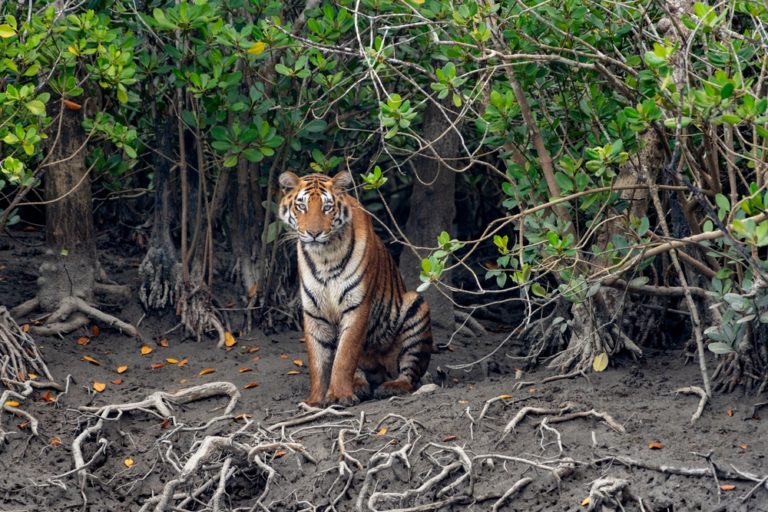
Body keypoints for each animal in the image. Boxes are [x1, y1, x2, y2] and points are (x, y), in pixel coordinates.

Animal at [278, 170, 433, 406]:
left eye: (327, 207)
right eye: (301, 206)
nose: (314, 233)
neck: (324, 257)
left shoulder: (356, 306)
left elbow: (345, 356)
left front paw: (339, 395)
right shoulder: (315, 312)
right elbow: (318, 361)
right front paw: (315, 401)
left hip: (415, 304)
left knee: (409, 374)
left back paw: (391, 387)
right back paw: (359, 385)